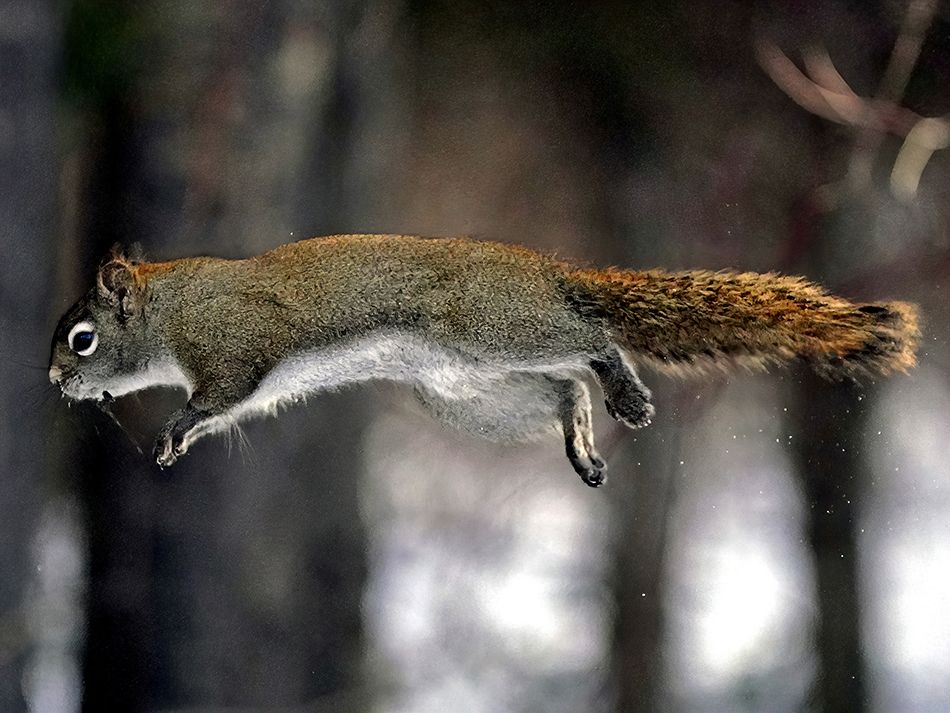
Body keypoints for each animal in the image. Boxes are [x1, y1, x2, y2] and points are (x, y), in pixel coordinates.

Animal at [49, 234, 920, 486]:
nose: (55, 380)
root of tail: (548, 274)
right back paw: (582, 437)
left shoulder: (232, 347)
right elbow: (231, 409)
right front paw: (176, 439)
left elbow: (221, 392)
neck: (169, 310)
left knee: (591, 342)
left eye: (82, 337)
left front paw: (175, 426)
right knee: (564, 385)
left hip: (497, 326)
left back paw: (624, 392)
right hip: (467, 390)